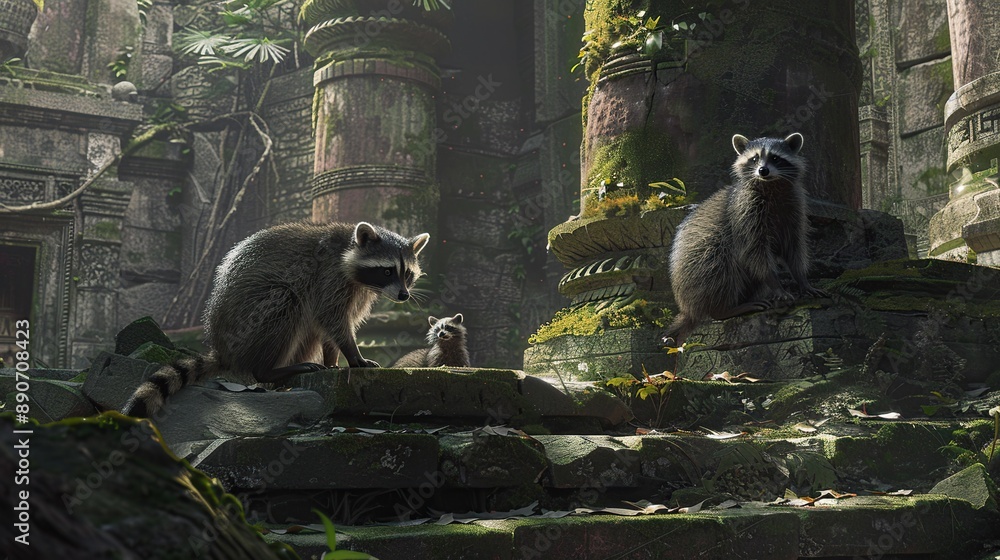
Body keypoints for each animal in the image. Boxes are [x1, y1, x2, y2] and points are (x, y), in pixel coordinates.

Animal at [122, 221, 430, 417]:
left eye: (408, 273)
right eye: (387, 271)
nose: (403, 296)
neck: (349, 249)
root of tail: (223, 349)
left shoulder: (357, 290)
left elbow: (330, 326)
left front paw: (333, 359)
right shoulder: (328, 276)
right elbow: (331, 318)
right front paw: (353, 355)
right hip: (252, 318)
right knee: (285, 300)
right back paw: (270, 370)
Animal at [665, 132, 826, 345]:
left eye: (775, 158)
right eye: (755, 158)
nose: (763, 170)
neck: (770, 184)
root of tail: (687, 308)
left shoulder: (794, 211)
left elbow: (794, 248)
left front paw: (802, 279)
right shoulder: (745, 214)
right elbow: (754, 252)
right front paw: (776, 285)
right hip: (698, 267)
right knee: (719, 262)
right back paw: (725, 309)